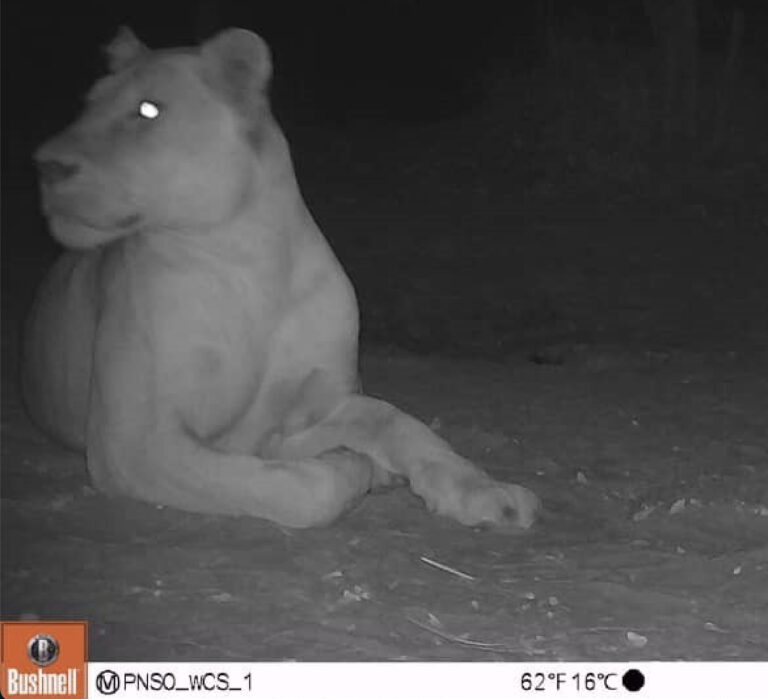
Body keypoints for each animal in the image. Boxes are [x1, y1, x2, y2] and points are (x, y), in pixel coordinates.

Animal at [22, 27, 539, 530]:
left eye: (148, 109)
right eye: (88, 103)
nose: (45, 164)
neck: (252, 260)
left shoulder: (313, 404)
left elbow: (396, 421)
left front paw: (489, 495)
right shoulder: (134, 445)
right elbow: (303, 487)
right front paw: (355, 467)